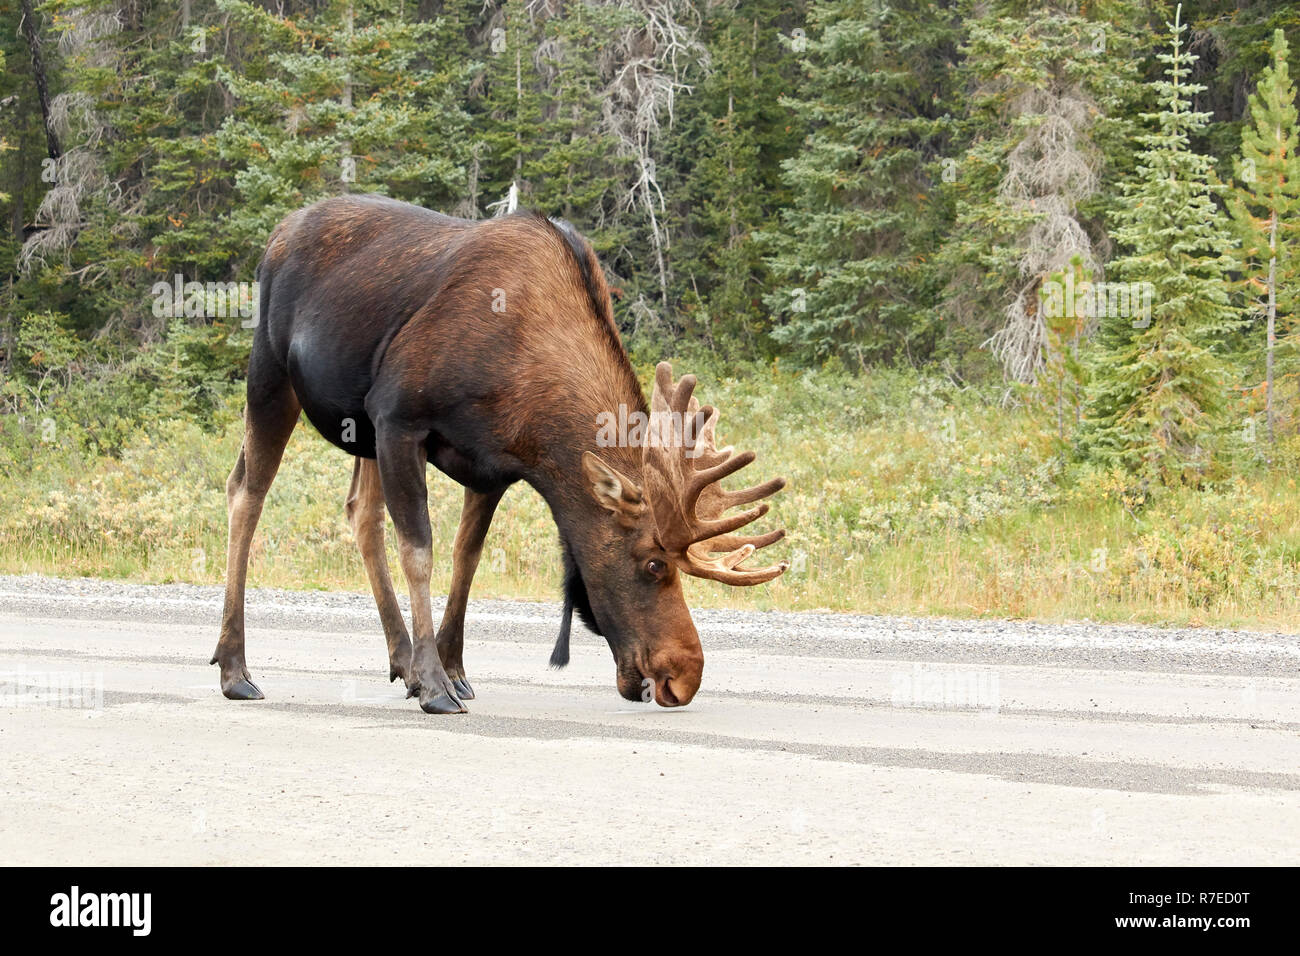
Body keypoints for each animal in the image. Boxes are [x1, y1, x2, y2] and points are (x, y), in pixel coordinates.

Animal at [210, 194, 788, 714]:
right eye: (652, 563)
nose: (684, 675)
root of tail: (279, 231)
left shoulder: (492, 467)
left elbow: (467, 557)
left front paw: (451, 671)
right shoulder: (398, 417)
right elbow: (420, 551)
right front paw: (435, 685)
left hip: (360, 431)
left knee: (360, 512)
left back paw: (400, 661)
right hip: (271, 374)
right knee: (245, 494)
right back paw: (235, 669)